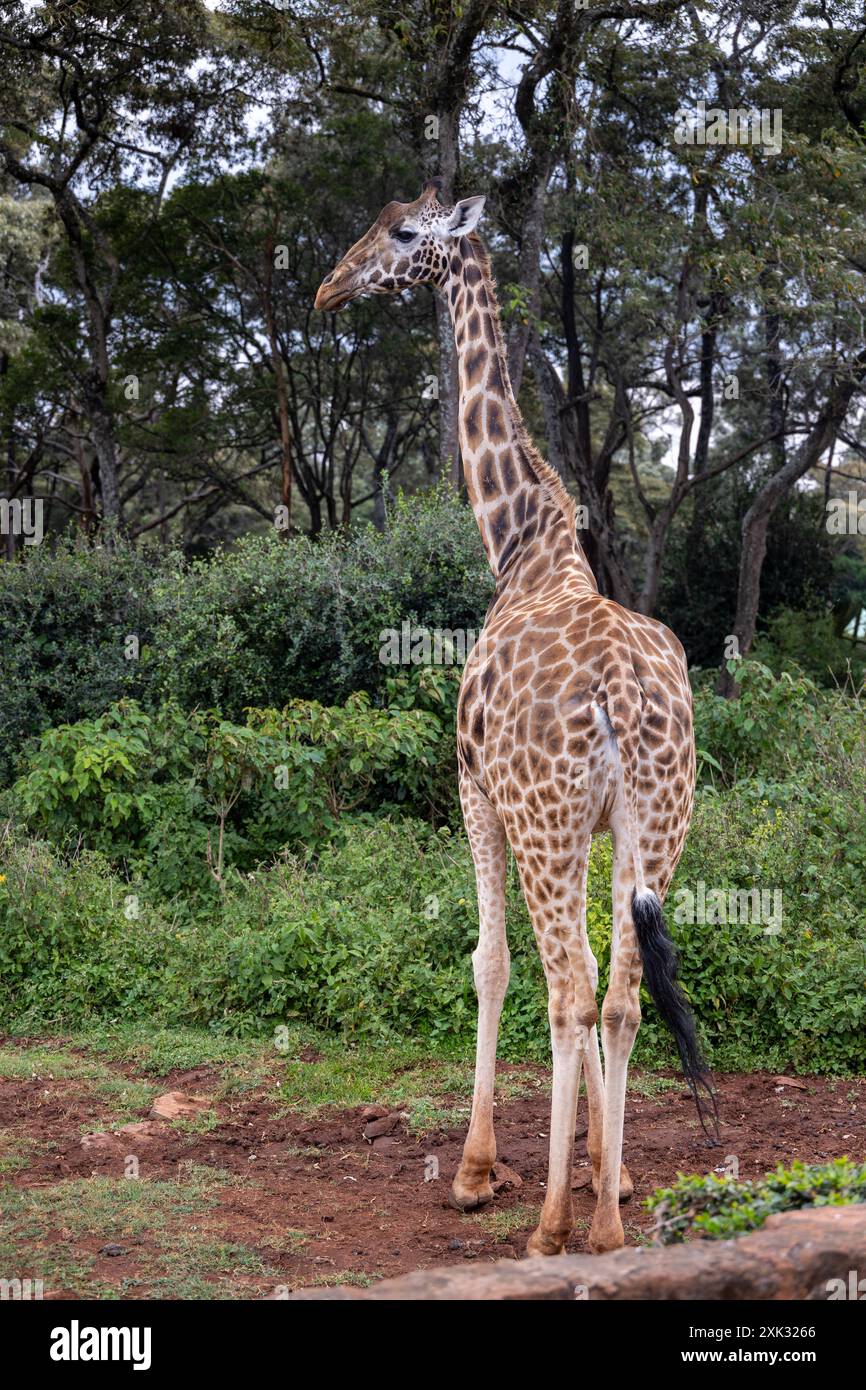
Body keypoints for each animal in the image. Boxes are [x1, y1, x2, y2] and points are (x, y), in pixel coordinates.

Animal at [316, 178, 716, 1256]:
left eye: (403, 233)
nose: (329, 286)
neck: (521, 545)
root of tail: (622, 693)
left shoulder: (476, 793)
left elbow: (489, 964)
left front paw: (476, 1169)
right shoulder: (591, 827)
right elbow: (583, 984)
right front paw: (600, 1169)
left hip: (542, 821)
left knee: (571, 989)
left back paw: (549, 1228)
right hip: (657, 824)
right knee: (619, 997)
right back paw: (608, 1223)